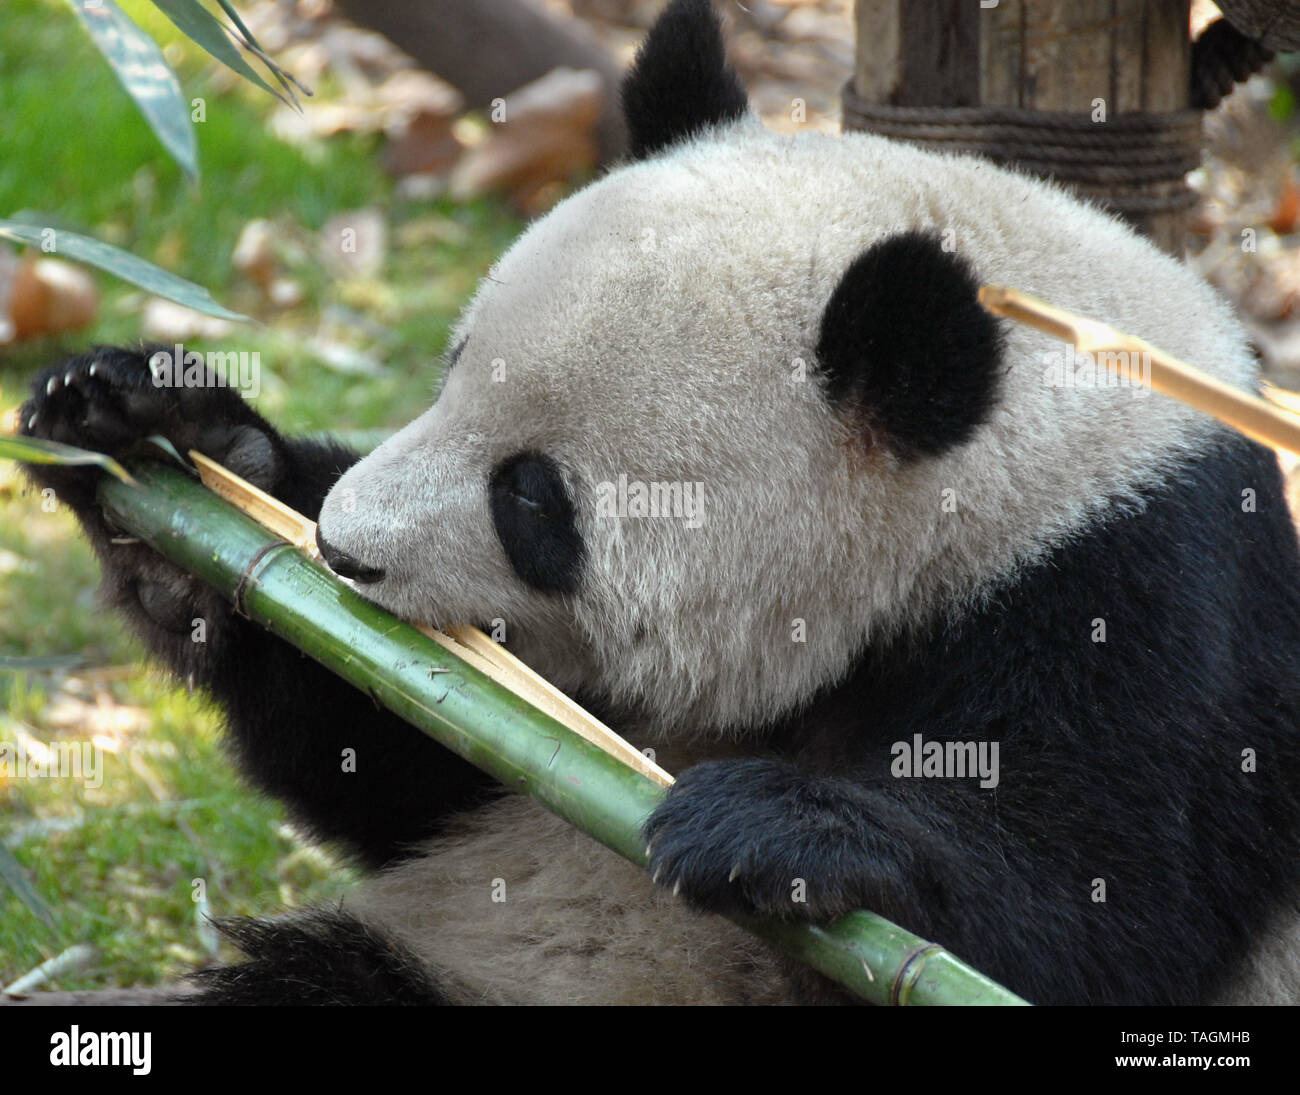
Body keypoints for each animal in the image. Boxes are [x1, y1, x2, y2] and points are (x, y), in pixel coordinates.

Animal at [17, 0, 1300, 1006]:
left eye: (533, 498)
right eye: (451, 370)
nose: (342, 553)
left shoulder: (1133, 587)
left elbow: (1102, 914)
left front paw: (774, 832)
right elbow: (392, 767)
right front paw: (153, 434)